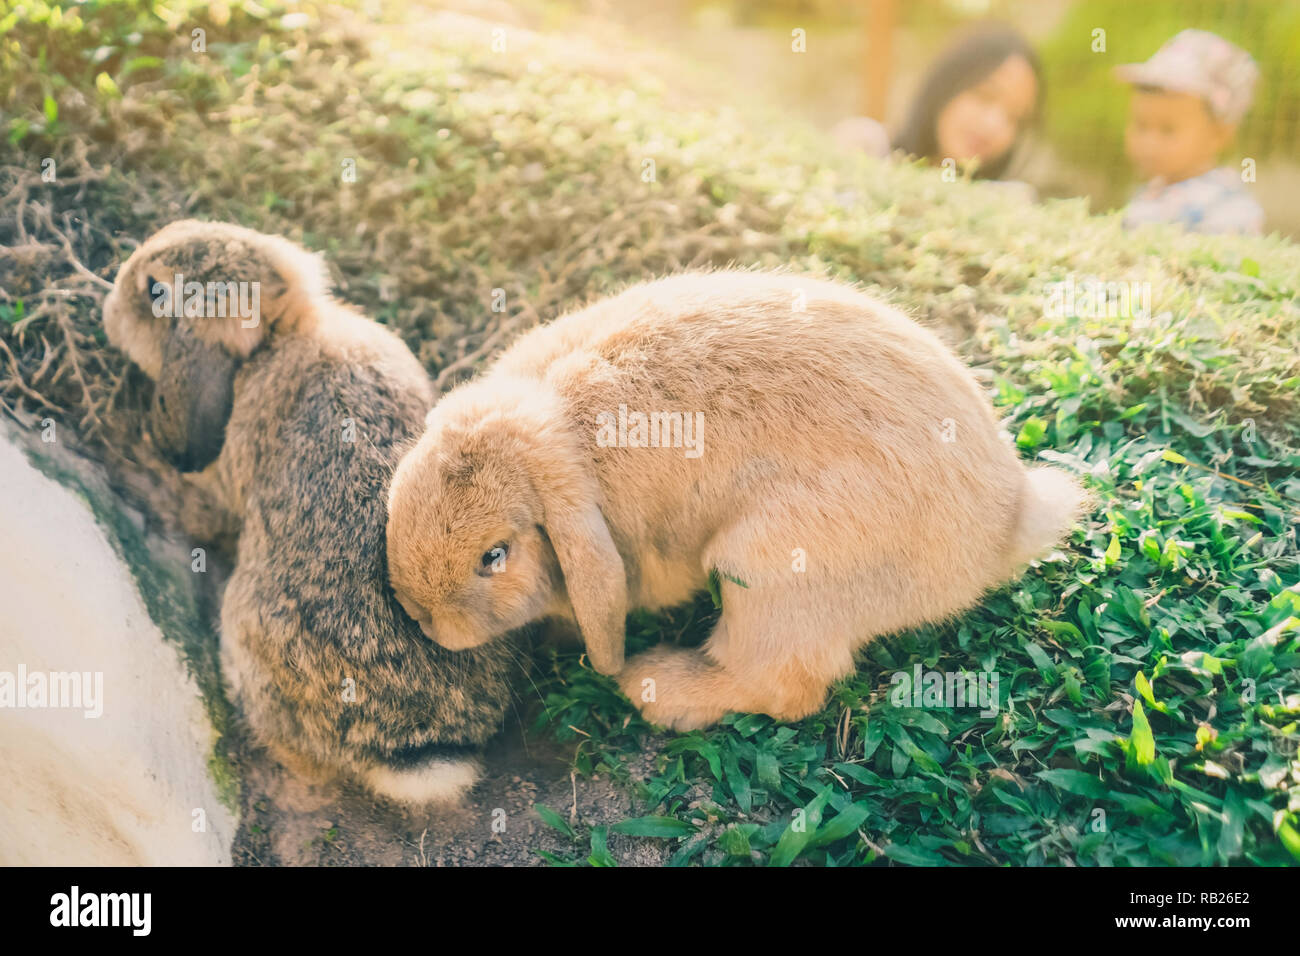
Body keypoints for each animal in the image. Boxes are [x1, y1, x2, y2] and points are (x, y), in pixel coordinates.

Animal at [384, 270, 1089, 732]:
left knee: (785, 686)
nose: (422, 618)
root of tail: (1006, 526)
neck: (565, 437)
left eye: (494, 555)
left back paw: (659, 687)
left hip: (766, 565)